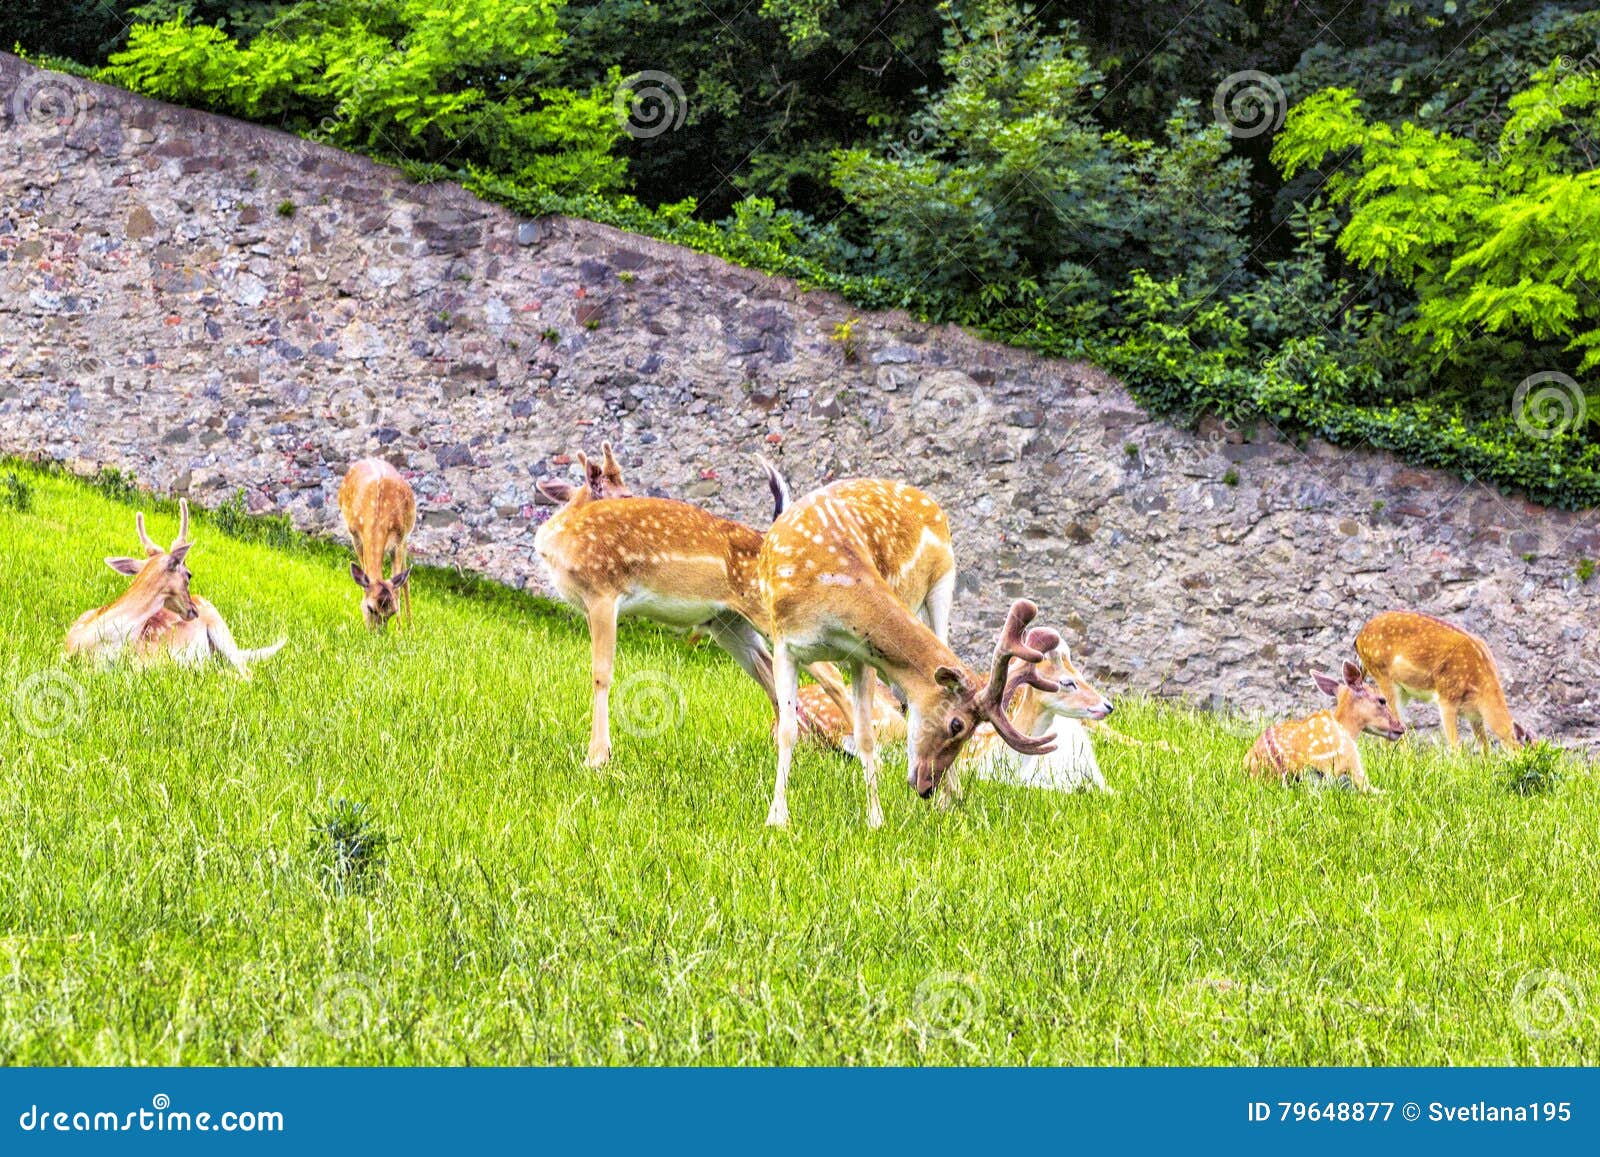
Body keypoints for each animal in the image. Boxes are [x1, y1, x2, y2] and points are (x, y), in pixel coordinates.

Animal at [339, 458, 416, 631]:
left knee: (406, 581)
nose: (377, 634)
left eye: (392, 611)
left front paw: (400, 631)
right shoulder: (356, 536)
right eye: (370, 608)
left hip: (407, 537)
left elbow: (397, 590)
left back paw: (411, 626)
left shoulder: (399, 541)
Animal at [757, 477, 1059, 828]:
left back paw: (952, 799)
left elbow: (865, 736)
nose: (927, 786)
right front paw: (776, 818)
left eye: (968, 731)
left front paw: (875, 819)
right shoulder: (784, 645)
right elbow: (787, 730)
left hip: (943, 582)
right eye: (957, 725)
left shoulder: (862, 654)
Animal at [1354, 610, 1532, 751]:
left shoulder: (1474, 715)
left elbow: (1485, 747)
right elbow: (1455, 746)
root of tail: (1358, 639)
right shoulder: (1447, 697)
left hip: (1402, 690)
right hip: (1383, 675)